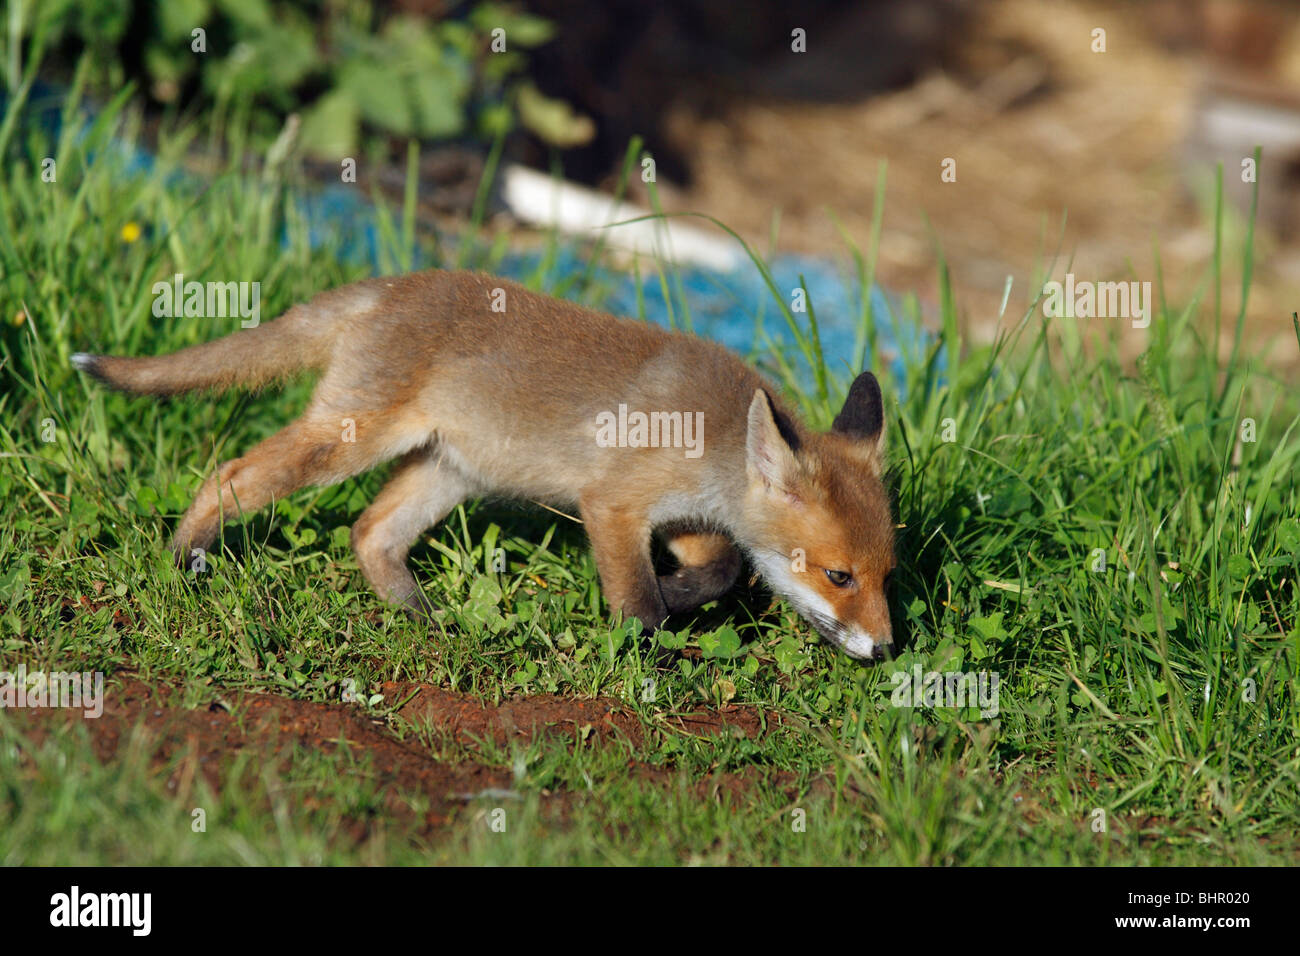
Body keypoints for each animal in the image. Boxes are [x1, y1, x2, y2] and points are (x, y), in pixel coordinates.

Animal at [72, 270, 897, 659]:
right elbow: (637, 604)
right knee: (231, 477)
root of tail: (394, 284)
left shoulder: (681, 518)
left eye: (885, 574)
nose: (888, 648)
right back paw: (183, 559)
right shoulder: (613, 504)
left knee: (371, 533)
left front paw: (680, 597)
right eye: (839, 576)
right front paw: (649, 660)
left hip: (448, 472)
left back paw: (422, 616)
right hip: (348, 439)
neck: (713, 436)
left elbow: (721, 568)